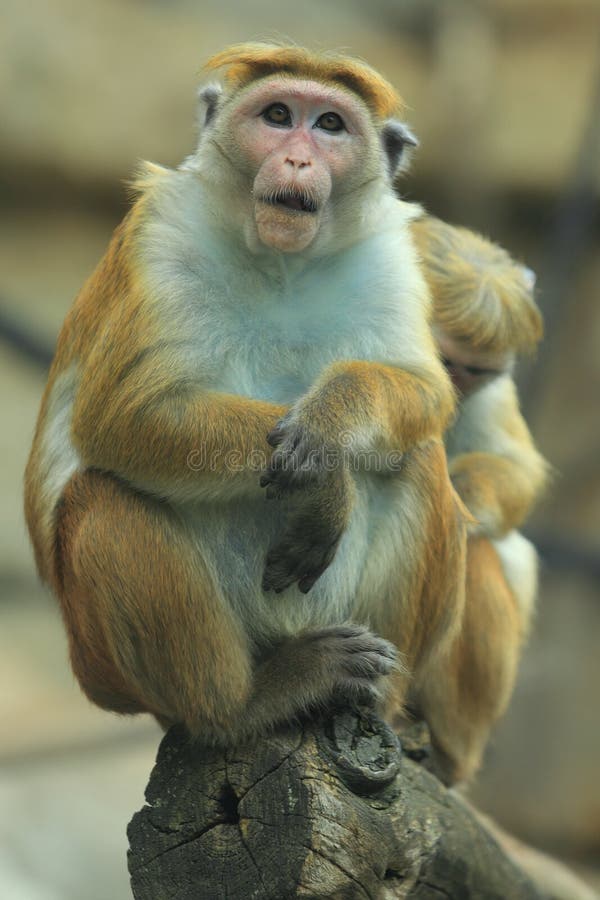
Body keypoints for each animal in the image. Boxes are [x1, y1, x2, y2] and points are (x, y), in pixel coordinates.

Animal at [25, 42, 473, 773]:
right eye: (278, 115)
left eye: (330, 125)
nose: (296, 160)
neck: (282, 265)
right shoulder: (162, 235)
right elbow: (123, 420)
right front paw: (327, 485)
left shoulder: (387, 255)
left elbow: (424, 389)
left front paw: (327, 430)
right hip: (115, 667)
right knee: (102, 498)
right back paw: (249, 703)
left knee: (416, 456)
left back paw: (378, 701)